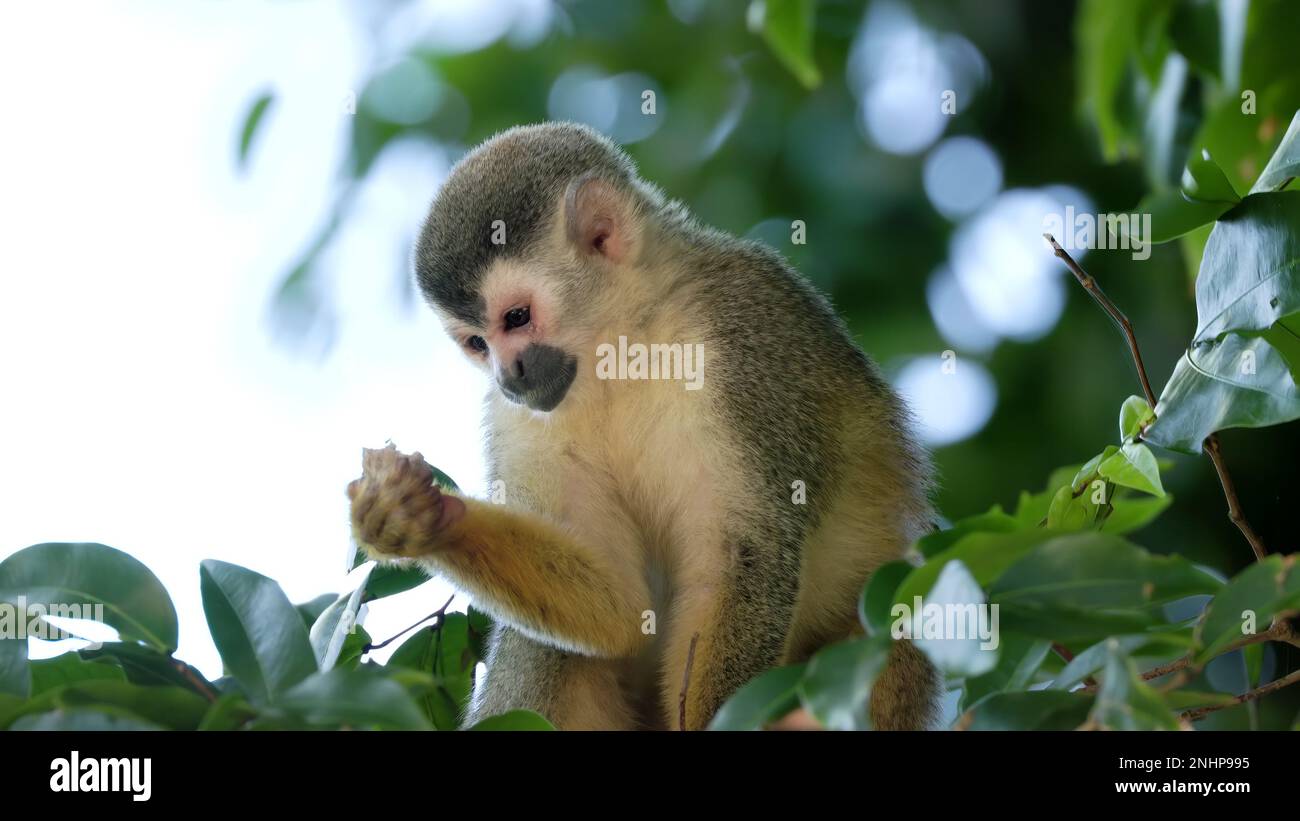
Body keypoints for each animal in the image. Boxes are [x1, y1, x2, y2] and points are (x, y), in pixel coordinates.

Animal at [346, 121, 941, 730]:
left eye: (516, 318)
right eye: (476, 344)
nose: (509, 376)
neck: (624, 343)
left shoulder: (743, 333)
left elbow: (741, 556)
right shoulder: (516, 418)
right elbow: (620, 606)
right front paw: (425, 517)